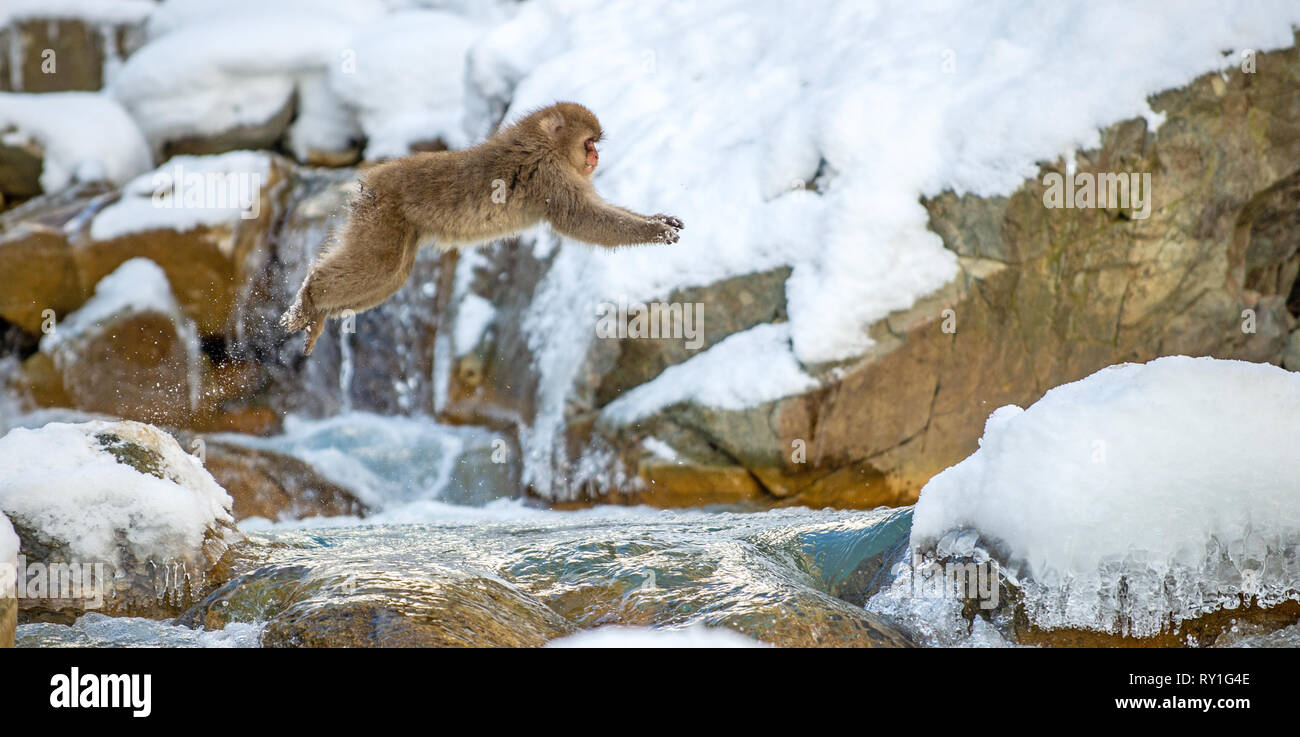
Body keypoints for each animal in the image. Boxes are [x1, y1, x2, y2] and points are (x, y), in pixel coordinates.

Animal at [280, 102, 683, 355]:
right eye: (589, 143)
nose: (595, 157)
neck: (544, 143)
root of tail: (372, 180)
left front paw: (659, 220)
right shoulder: (551, 175)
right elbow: (580, 219)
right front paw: (653, 231)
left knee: (391, 277)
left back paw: (319, 314)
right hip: (382, 217)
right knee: (379, 266)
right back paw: (311, 295)